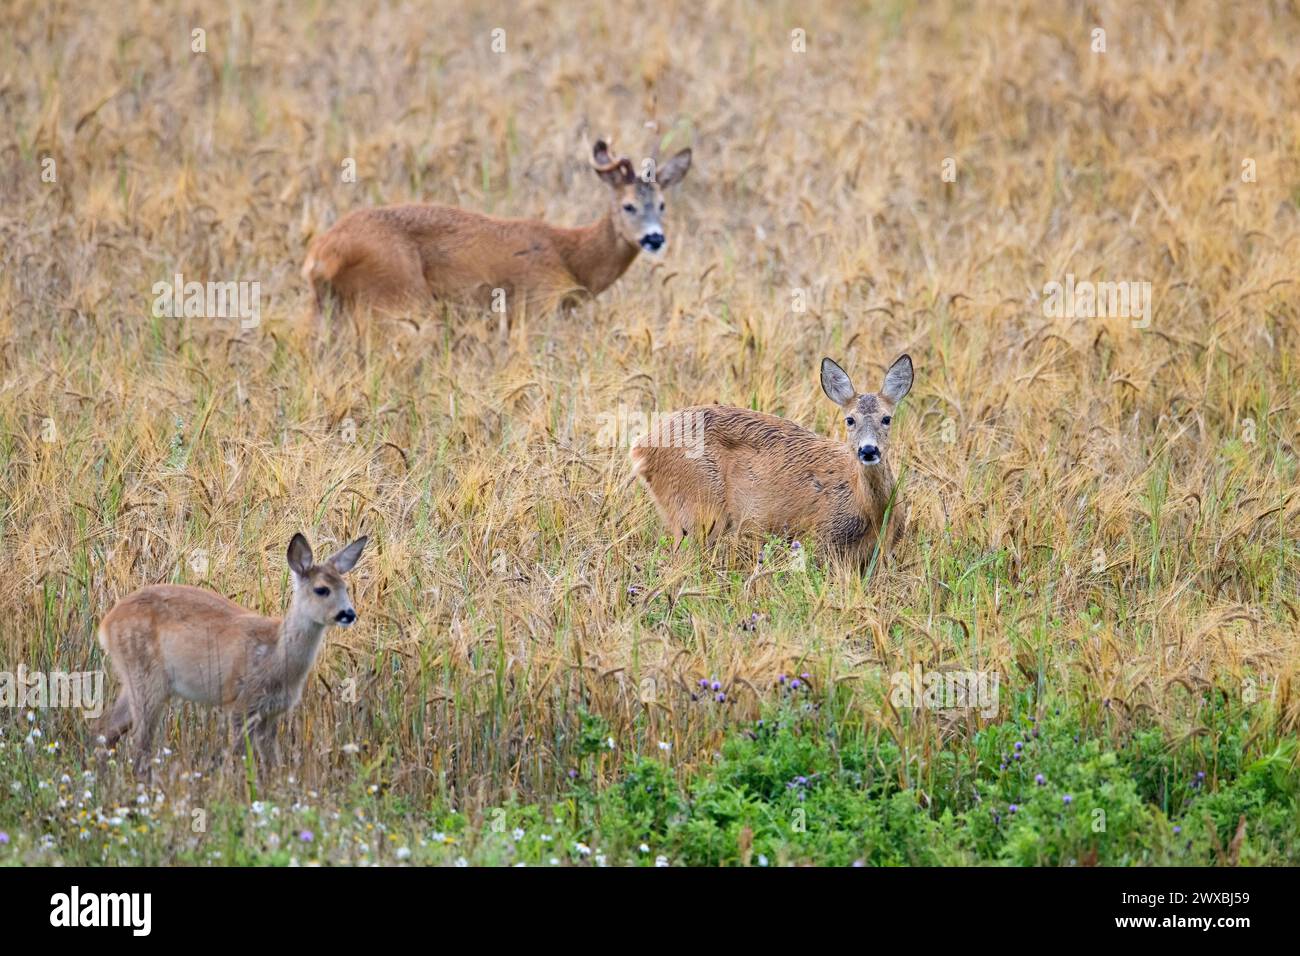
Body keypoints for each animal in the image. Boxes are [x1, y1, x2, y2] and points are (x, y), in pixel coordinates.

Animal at [95, 533, 367, 773]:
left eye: (345, 587)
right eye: (321, 589)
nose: (348, 614)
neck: (275, 656)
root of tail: (105, 624)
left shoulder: (271, 712)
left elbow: (272, 763)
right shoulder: (241, 705)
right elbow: (236, 757)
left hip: (135, 677)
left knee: (106, 728)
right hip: (147, 677)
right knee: (139, 742)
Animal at [301, 139, 692, 333]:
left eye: (662, 205)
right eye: (628, 206)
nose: (654, 239)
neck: (570, 256)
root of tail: (322, 251)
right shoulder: (537, 304)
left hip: (328, 308)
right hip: (397, 298)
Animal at [630, 355, 914, 568]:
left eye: (887, 418)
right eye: (850, 419)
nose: (868, 450)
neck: (871, 511)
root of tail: (641, 447)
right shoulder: (821, 540)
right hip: (696, 509)